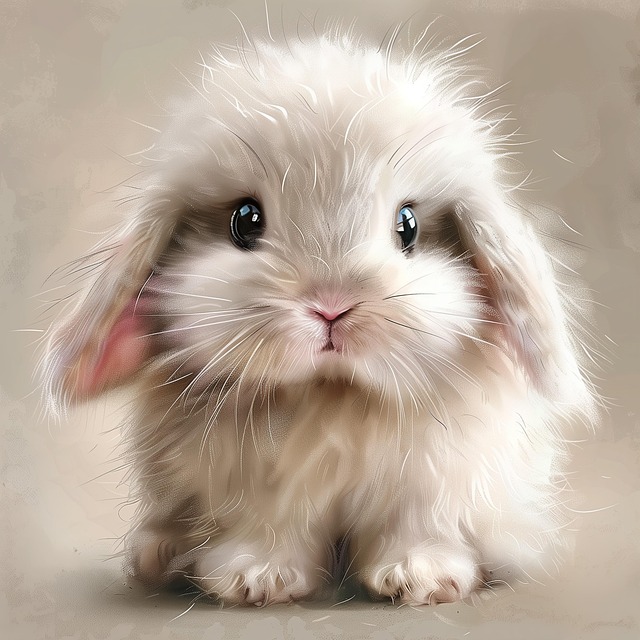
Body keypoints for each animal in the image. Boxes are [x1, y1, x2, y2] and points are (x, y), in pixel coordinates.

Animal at [39, 26, 598, 606]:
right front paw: (255, 580)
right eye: (245, 220)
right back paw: (160, 556)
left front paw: (421, 579)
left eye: (408, 226)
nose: (332, 303)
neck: (331, 395)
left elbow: (417, 528)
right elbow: (269, 530)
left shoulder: (433, 483)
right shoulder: (258, 491)